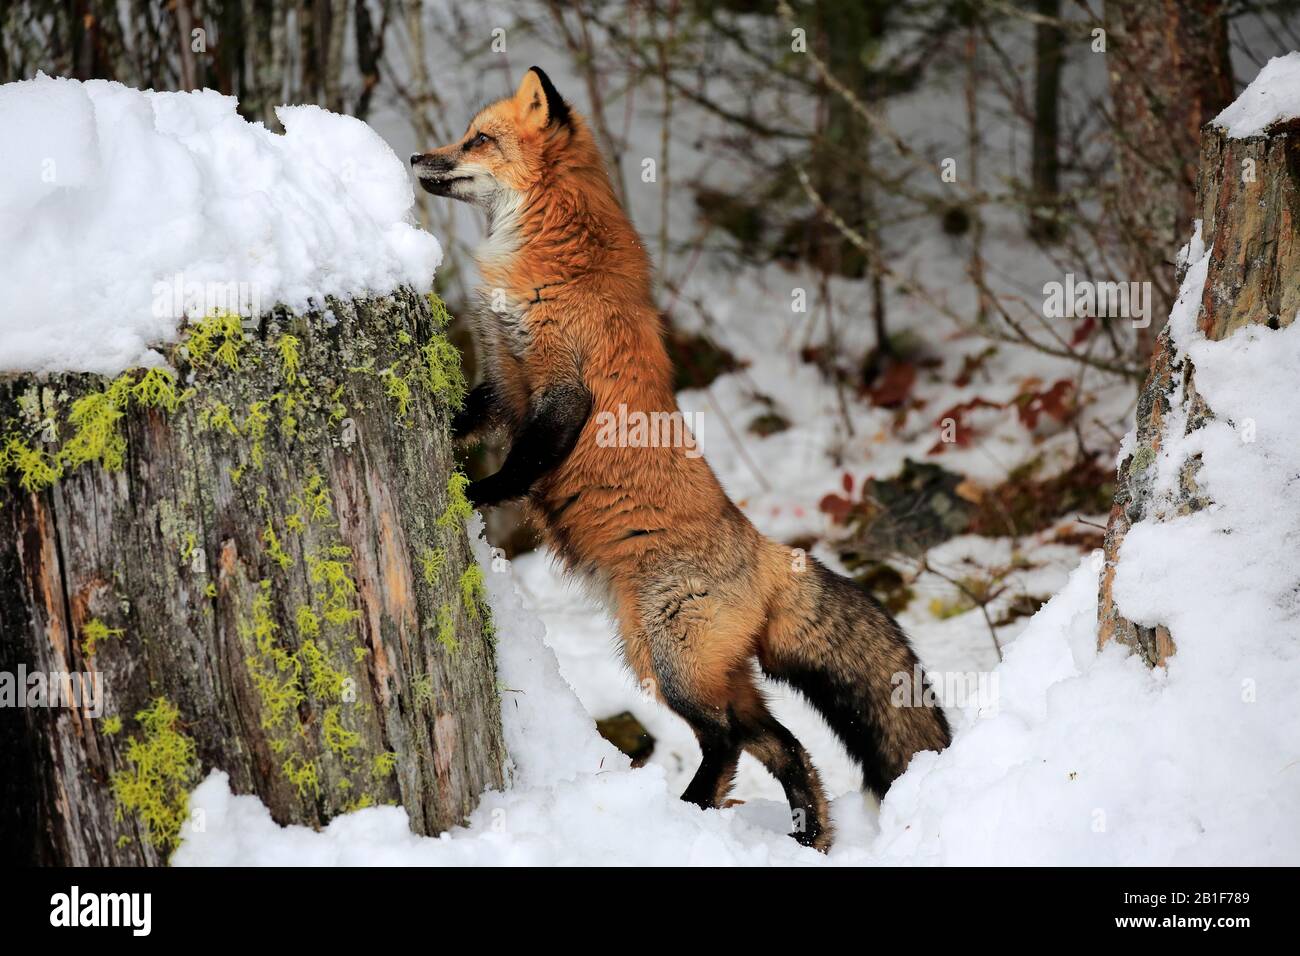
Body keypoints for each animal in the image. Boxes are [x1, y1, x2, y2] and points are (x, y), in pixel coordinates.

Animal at [411, 67, 951, 851]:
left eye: (476, 139)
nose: (415, 157)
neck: (554, 258)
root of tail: (765, 551)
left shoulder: (563, 391)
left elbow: (521, 467)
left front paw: (473, 493)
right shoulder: (505, 383)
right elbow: (468, 419)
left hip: (671, 666)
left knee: (731, 741)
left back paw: (693, 813)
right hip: (681, 665)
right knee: (783, 745)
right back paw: (798, 833)